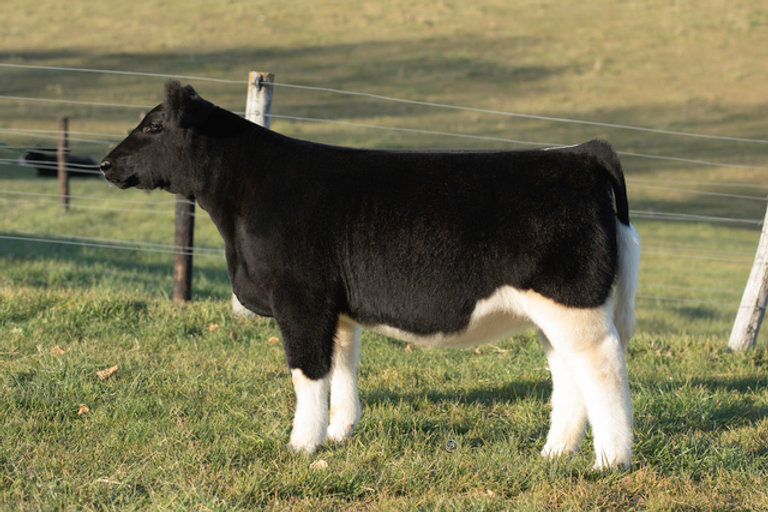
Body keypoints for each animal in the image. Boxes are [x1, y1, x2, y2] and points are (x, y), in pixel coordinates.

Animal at [100, 81, 640, 470]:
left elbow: (307, 373)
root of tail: (579, 152)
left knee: (604, 367)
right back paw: (554, 454)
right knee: (568, 374)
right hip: (551, 311)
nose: (106, 163)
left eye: (154, 126)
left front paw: (302, 445)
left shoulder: (300, 298)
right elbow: (341, 365)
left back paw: (609, 461)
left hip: (574, 301)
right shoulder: (334, 306)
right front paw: (339, 433)